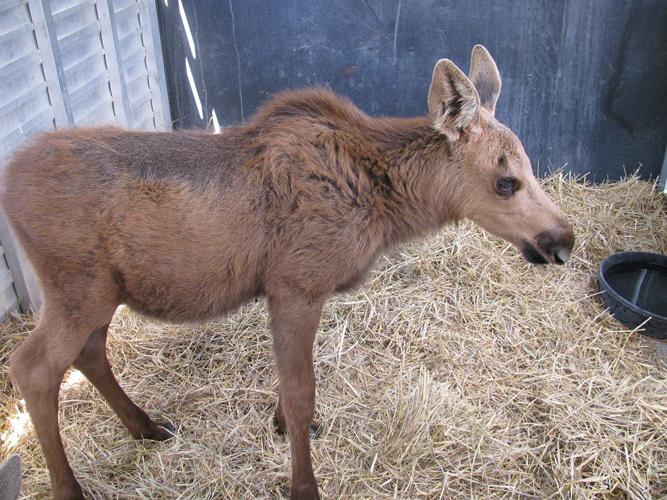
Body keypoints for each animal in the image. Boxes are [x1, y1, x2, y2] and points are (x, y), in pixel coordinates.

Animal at [1, 45, 574, 499]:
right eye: (505, 181)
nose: (563, 241)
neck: (382, 206)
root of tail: (9, 181)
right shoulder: (296, 285)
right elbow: (302, 393)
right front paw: (304, 484)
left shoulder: (293, 292)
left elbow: (294, 389)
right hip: (77, 290)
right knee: (32, 367)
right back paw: (70, 488)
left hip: (103, 293)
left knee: (89, 353)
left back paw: (146, 427)